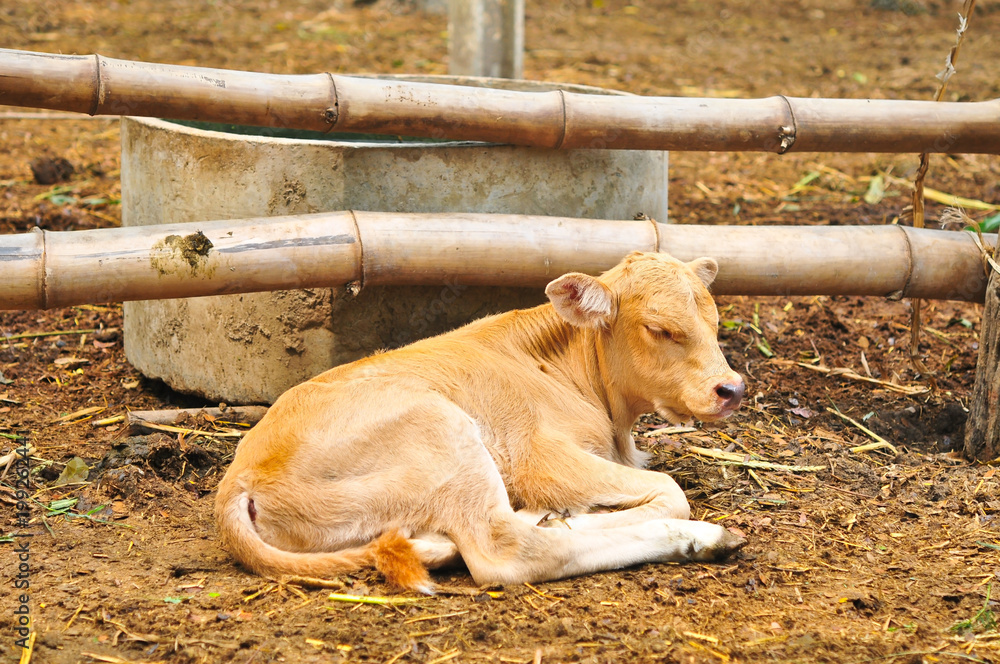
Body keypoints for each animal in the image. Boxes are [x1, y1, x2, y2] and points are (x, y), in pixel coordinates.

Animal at [215, 251, 746, 593]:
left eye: (715, 322)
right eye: (660, 329)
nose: (732, 389)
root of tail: (239, 479)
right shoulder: (539, 457)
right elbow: (670, 492)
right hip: (446, 436)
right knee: (510, 549)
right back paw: (703, 538)